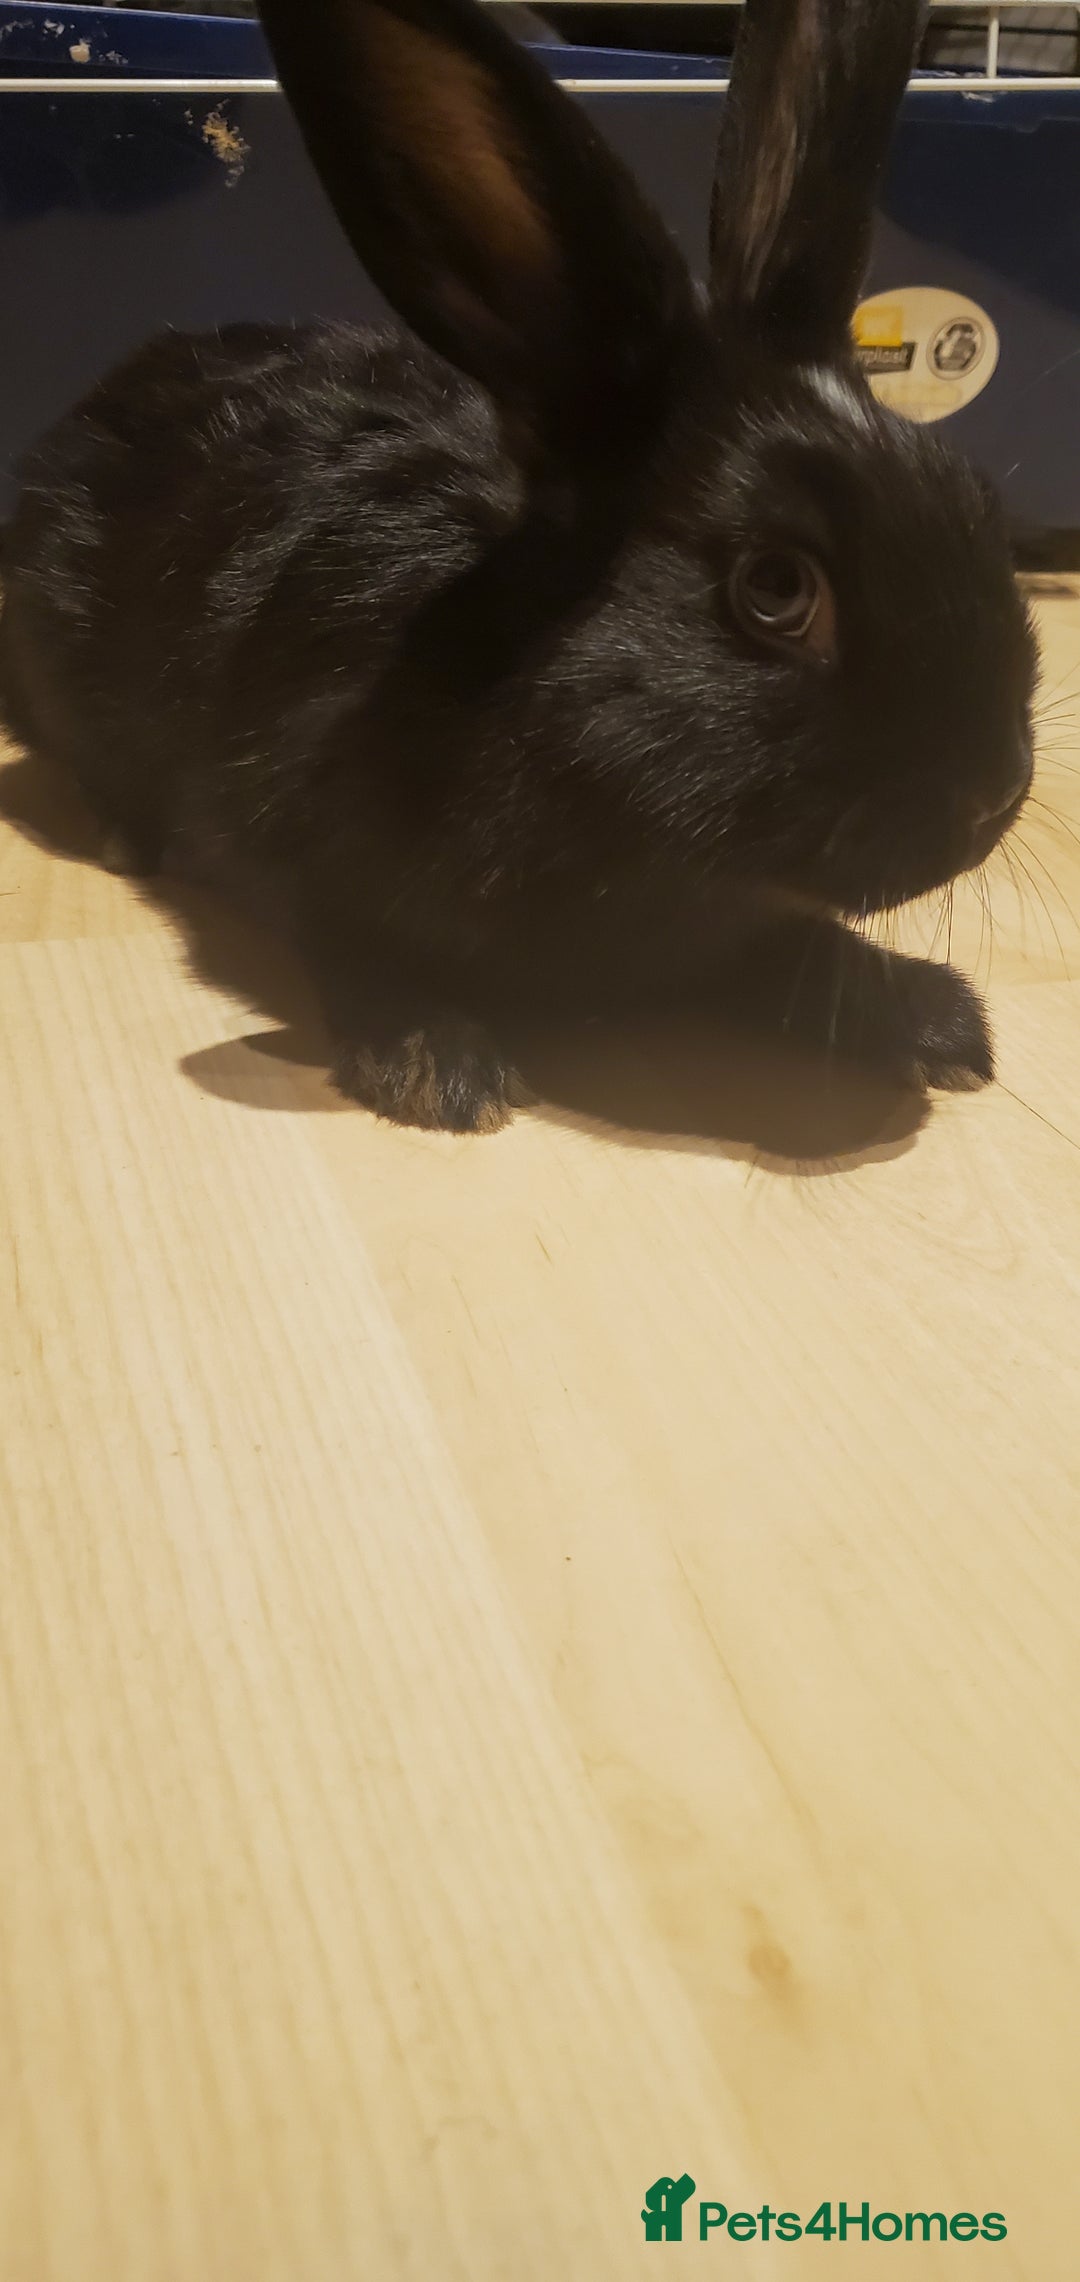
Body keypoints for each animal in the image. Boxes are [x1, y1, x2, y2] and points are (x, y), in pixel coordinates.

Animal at [0, 0, 1036, 1132]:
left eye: (975, 499)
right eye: (775, 590)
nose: (994, 796)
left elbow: (790, 944)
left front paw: (934, 1021)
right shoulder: (285, 843)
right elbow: (348, 946)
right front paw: (436, 1064)